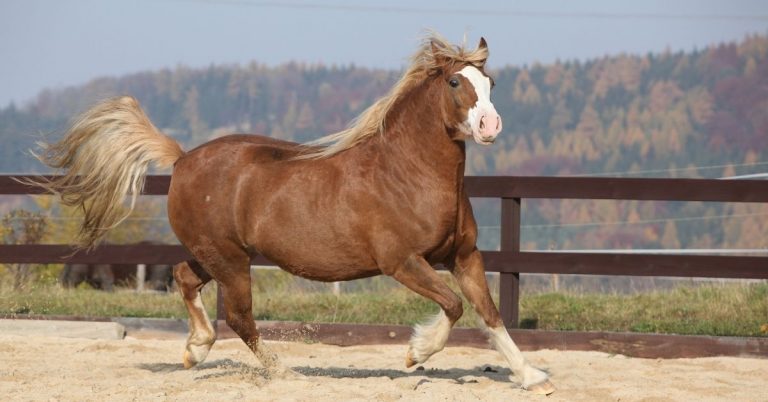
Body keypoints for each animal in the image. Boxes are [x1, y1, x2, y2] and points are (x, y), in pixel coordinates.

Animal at [29, 35, 554, 394]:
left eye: (490, 82)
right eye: (454, 81)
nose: (490, 126)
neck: (408, 173)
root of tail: (182, 159)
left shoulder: (464, 257)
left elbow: (489, 313)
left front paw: (533, 377)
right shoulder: (402, 262)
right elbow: (453, 306)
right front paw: (415, 353)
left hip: (215, 254)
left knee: (183, 277)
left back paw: (196, 350)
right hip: (231, 261)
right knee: (240, 317)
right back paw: (285, 371)